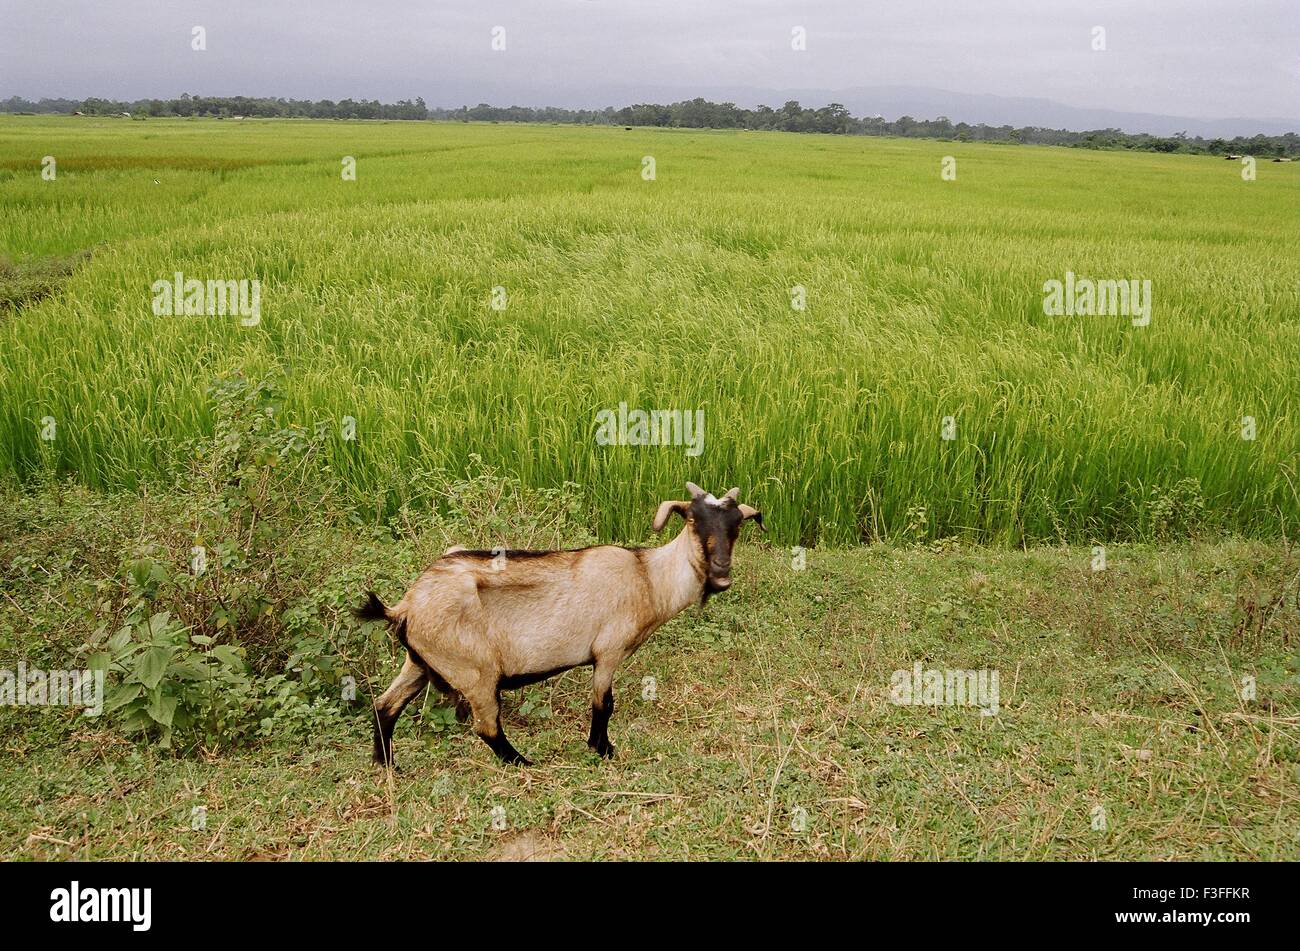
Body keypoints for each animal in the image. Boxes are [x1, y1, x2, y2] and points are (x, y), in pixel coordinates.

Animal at [355, 482, 763, 768]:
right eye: (692, 519)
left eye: (736, 525)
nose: (721, 574)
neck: (648, 576)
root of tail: (405, 607)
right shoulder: (608, 651)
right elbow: (604, 704)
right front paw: (602, 750)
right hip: (475, 670)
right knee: (487, 726)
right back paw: (523, 763)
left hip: (421, 662)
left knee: (384, 706)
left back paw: (387, 766)